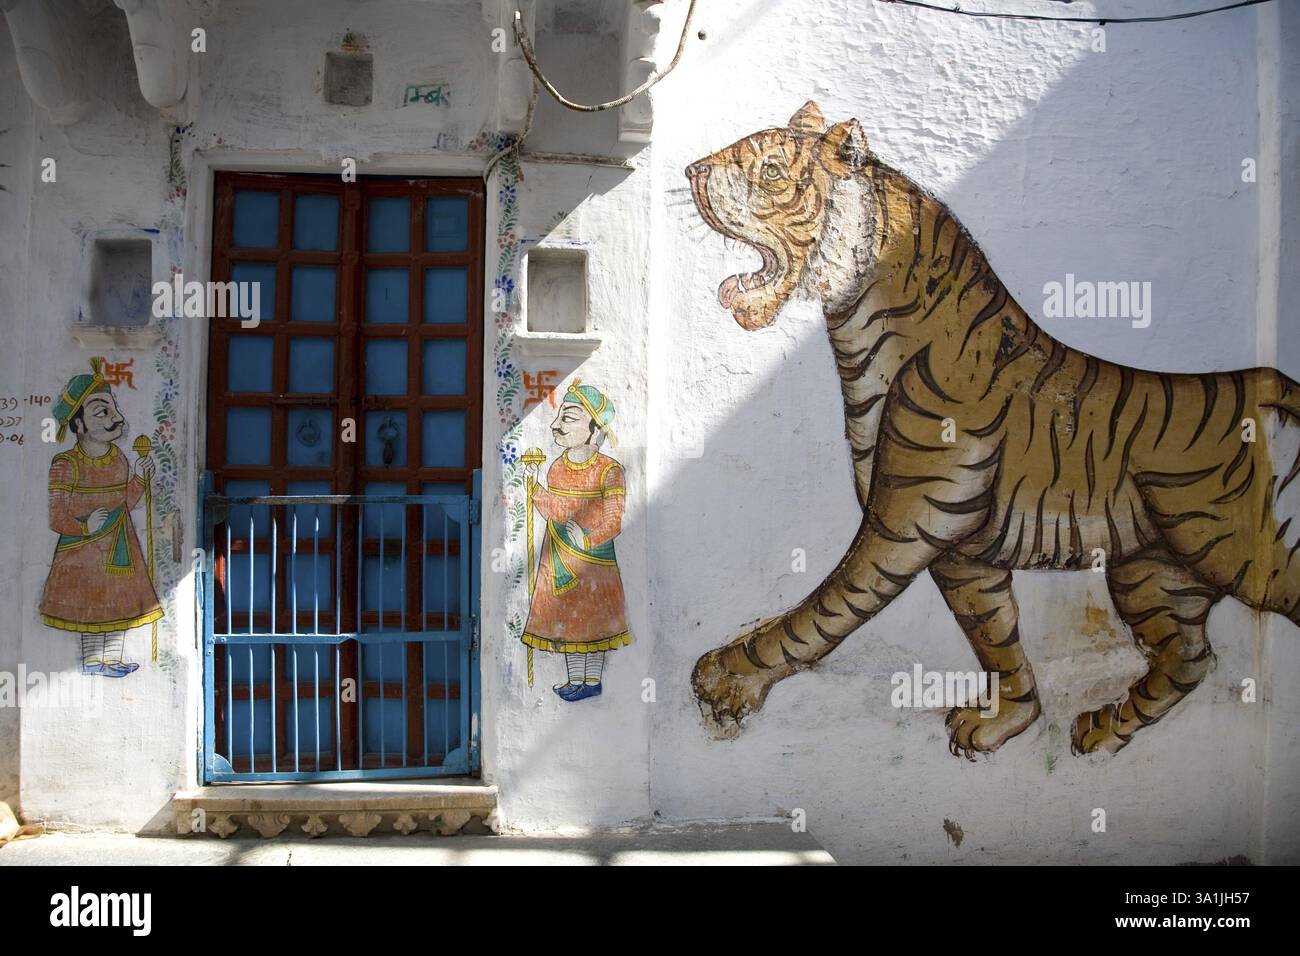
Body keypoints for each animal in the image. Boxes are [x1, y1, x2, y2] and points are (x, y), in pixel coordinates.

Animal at [685, 101, 1300, 757]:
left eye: (771, 169)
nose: (693, 170)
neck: (862, 333)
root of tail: (1267, 379)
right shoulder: (961, 551)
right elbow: (994, 631)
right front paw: (1006, 721)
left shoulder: (902, 525)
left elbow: (824, 610)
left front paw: (725, 678)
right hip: (1153, 574)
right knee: (1189, 657)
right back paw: (1101, 731)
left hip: (1240, 553)